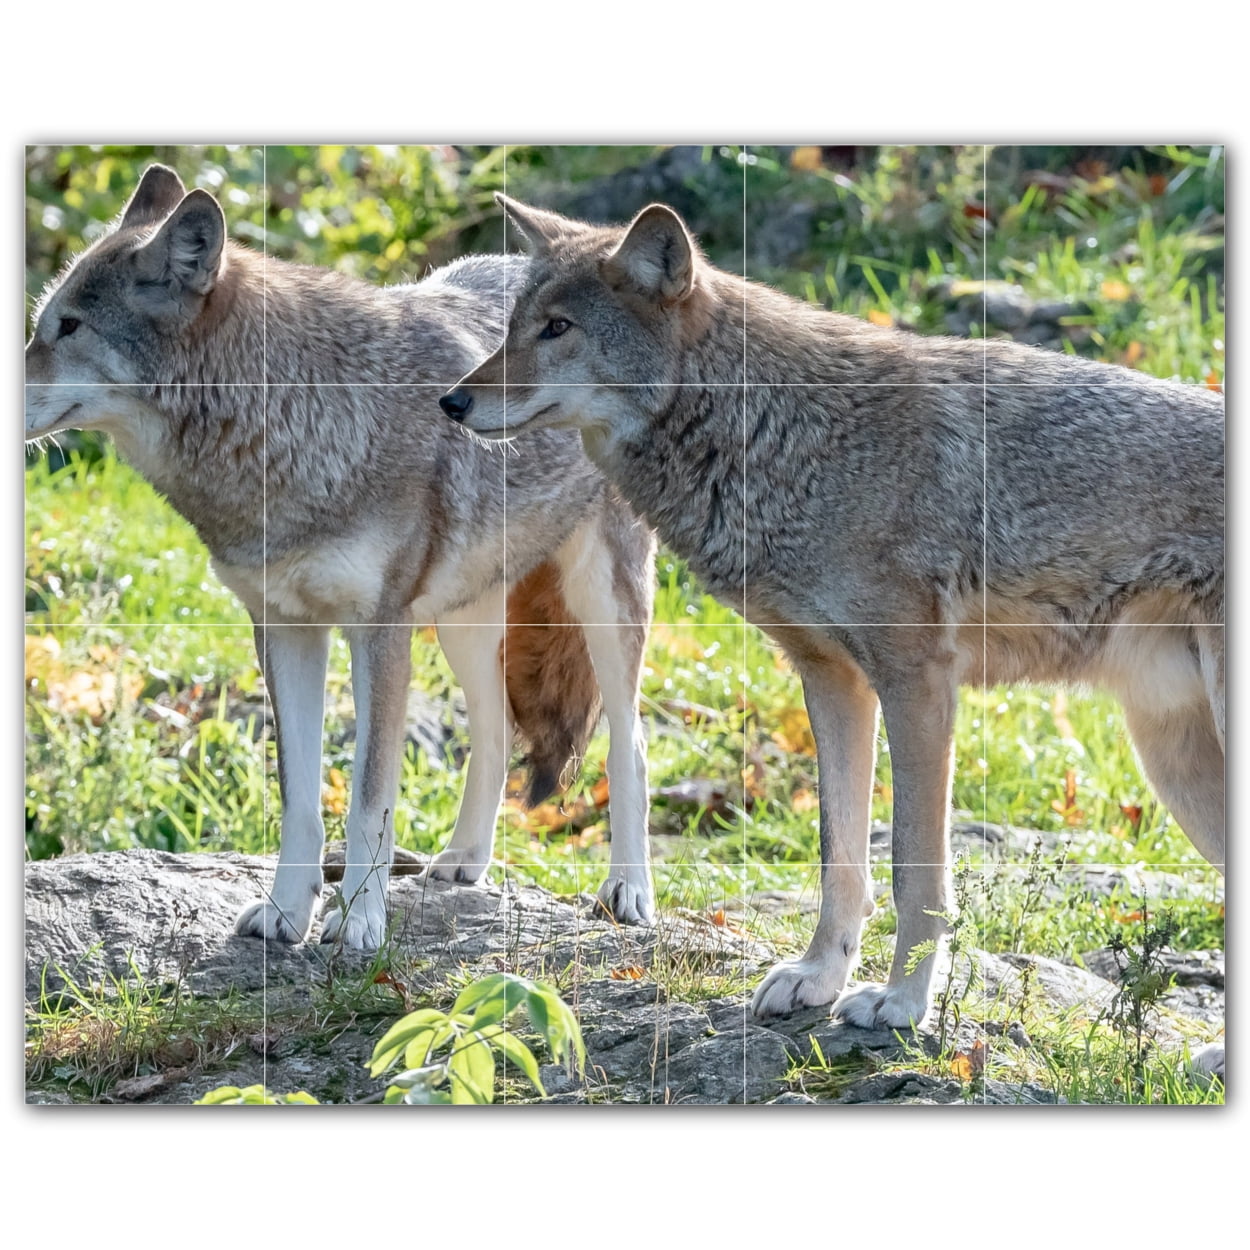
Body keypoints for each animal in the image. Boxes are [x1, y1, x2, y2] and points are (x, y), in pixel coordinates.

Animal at [25, 166, 657, 950]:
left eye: (70, 328)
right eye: (41, 325)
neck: (288, 427)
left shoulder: (378, 630)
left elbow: (366, 796)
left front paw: (357, 921)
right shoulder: (284, 629)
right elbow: (299, 797)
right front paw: (286, 913)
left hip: (601, 603)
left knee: (630, 741)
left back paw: (628, 890)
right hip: (461, 622)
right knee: (496, 731)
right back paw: (463, 862)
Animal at [442, 195, 1226, 1076]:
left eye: (558, 329)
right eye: (514, 327)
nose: (451, 403)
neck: (782, 437)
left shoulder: (918, 684)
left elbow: (917, 871)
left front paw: (903, 1006)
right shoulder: (830, 679)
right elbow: (840, 857)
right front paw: (819, 979)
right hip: (1174, 765)